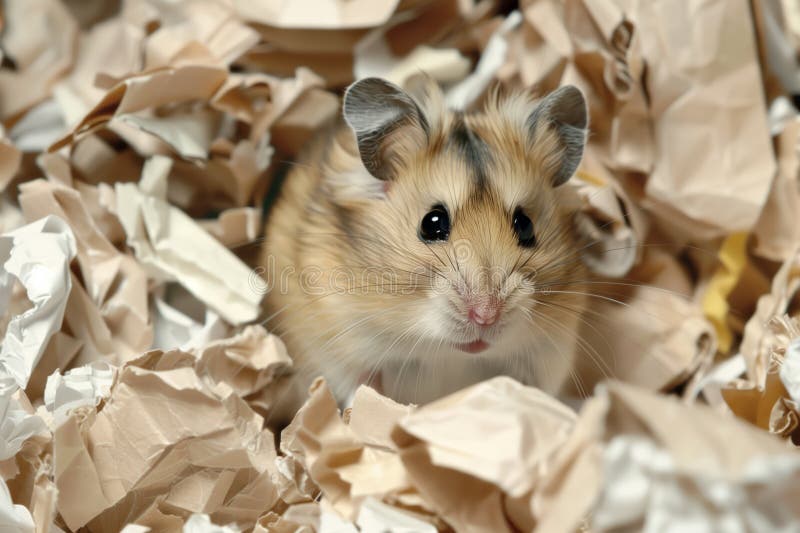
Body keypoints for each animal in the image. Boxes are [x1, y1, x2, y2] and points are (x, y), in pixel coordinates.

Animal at [261, 77, 592, 409]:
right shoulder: (342, 348)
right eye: (432, 223)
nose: (486, 316)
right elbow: (359, 388)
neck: (448, 352)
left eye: (525, 226)